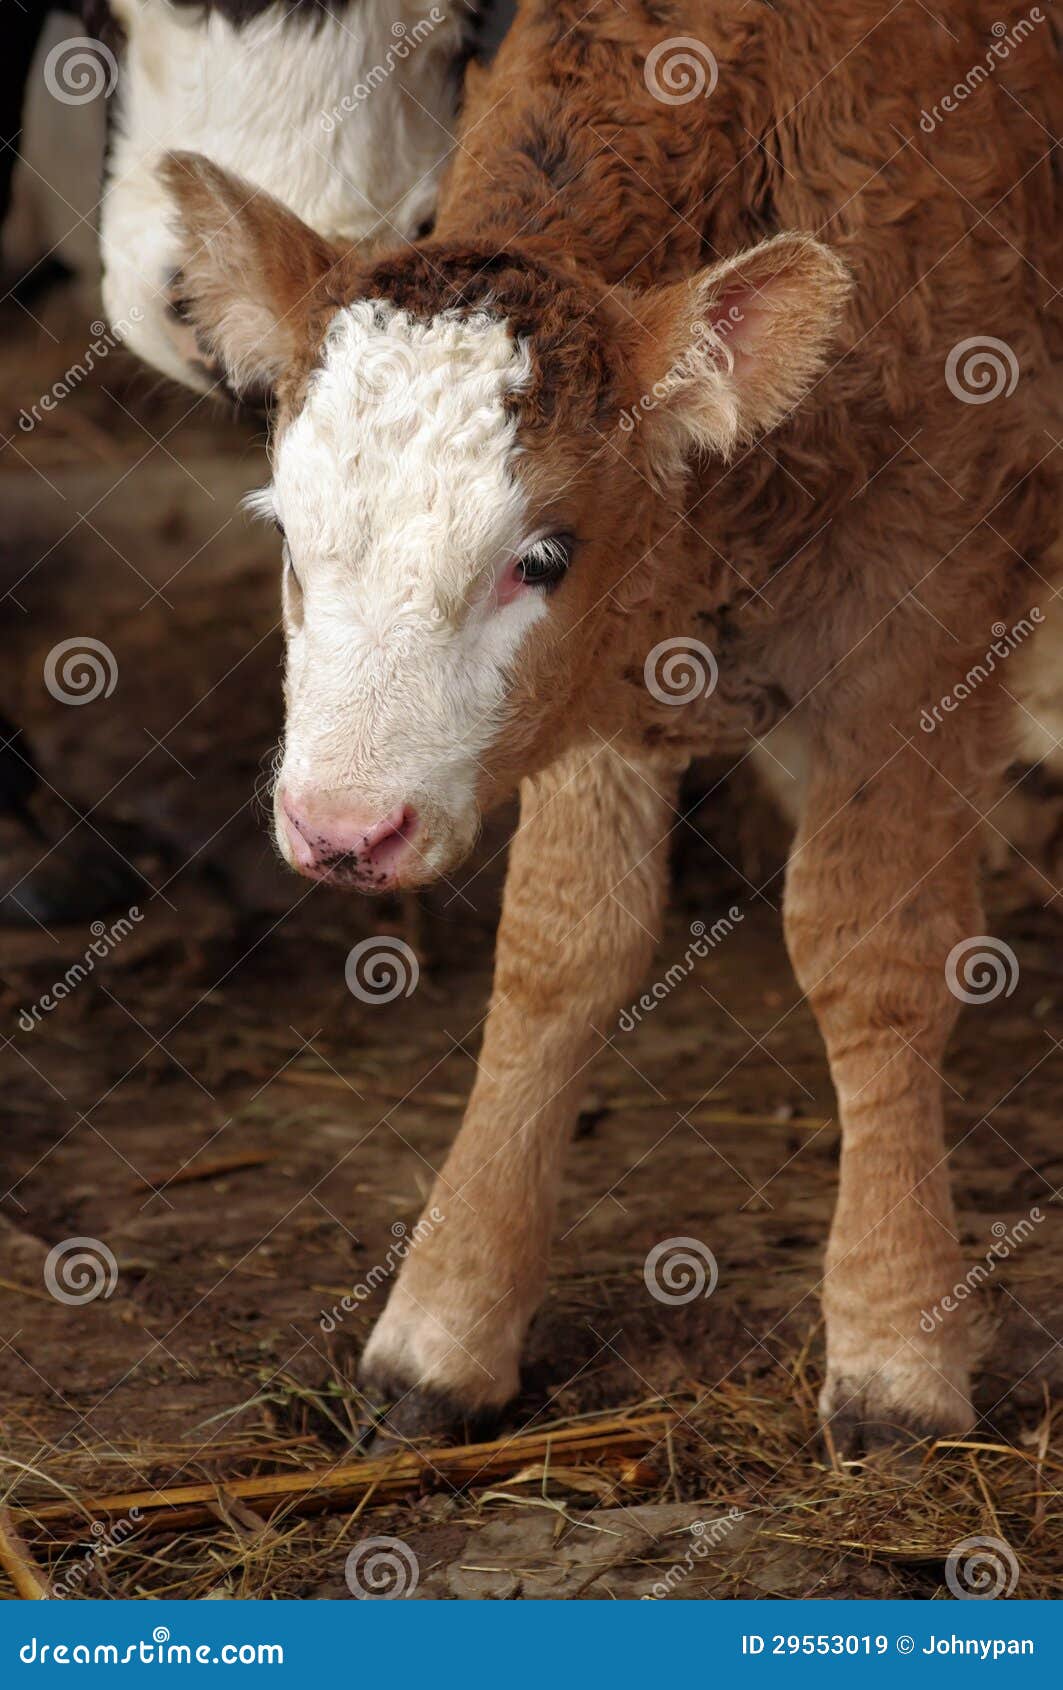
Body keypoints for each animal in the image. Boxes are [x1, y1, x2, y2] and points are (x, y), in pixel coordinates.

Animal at [160, 0, 1060, 1455]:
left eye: (540, 556)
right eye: (288, 534)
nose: (343, 827)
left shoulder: (924, 602)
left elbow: (868, 948)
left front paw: (894, 1350)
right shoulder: (608, 677)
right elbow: (557, 950)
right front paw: (442, 1328)